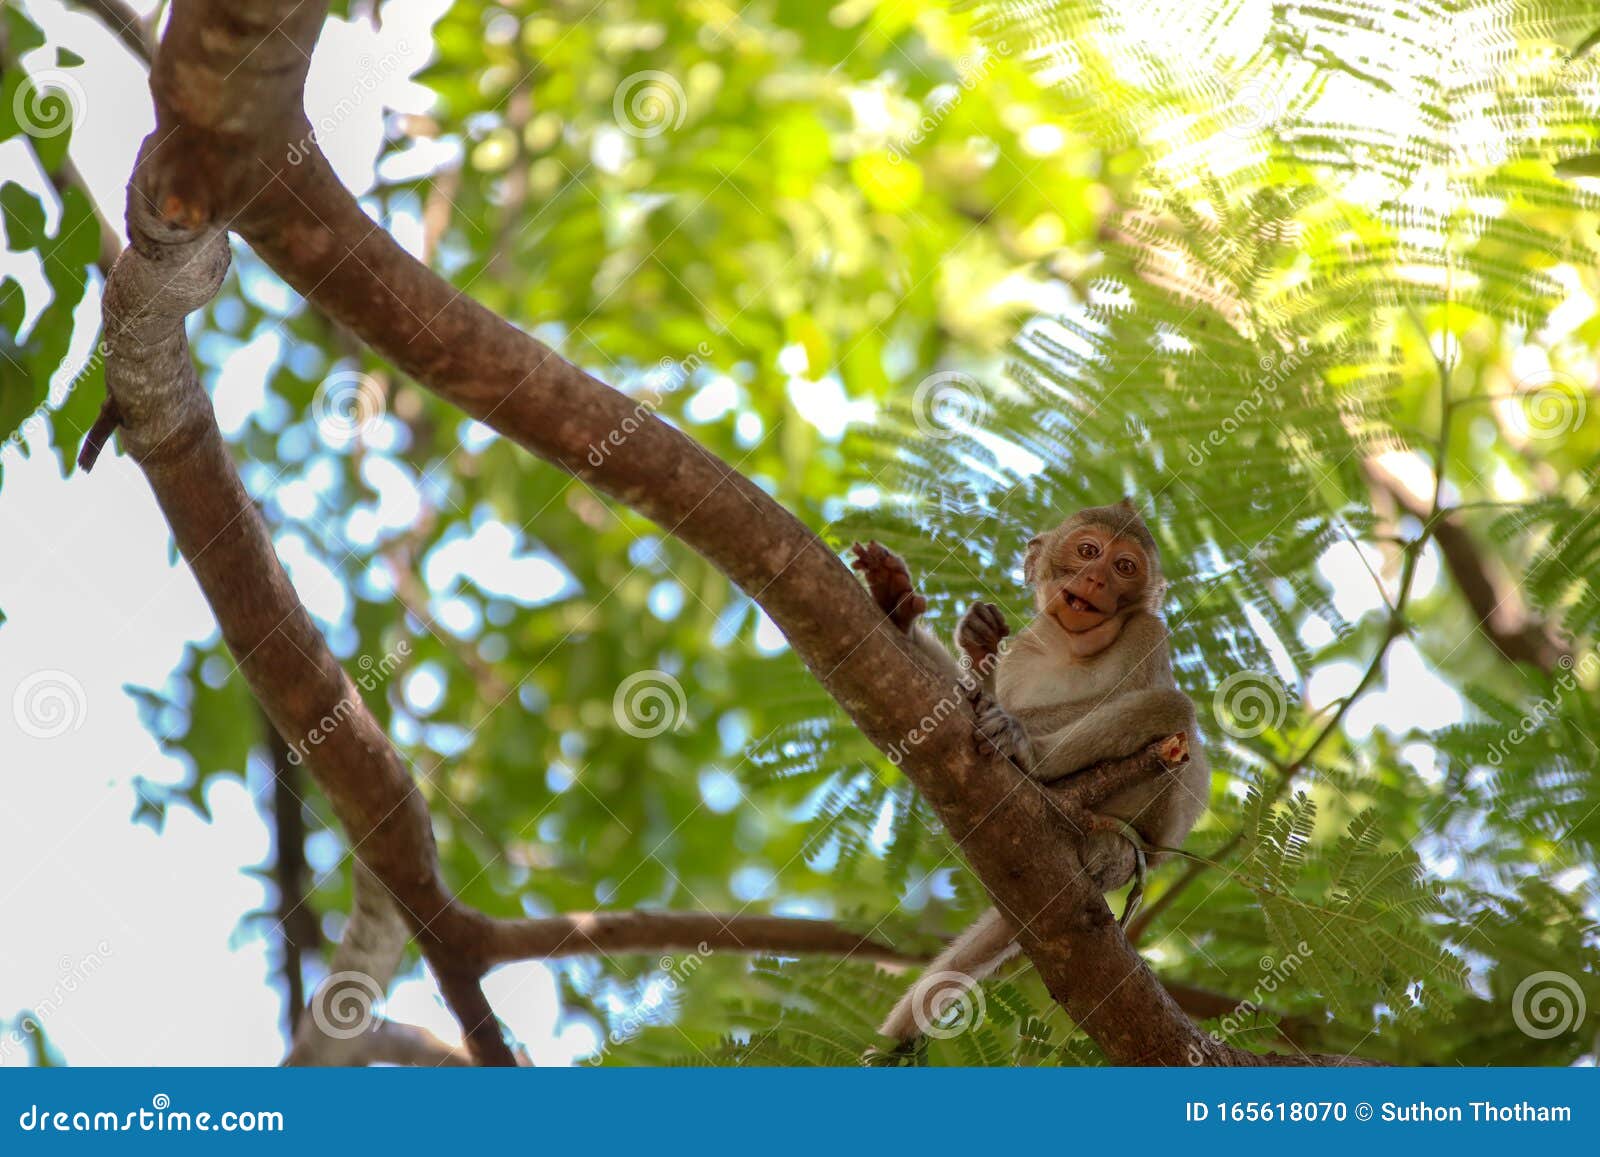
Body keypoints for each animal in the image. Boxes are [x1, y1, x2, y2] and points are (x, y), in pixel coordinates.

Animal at [849, 499, 1207, 1048]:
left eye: (1124, 566)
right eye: (1088, 551)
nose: (1096, 578)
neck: (1069, 644)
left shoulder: (1150, 632)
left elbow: (1133, 692)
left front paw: (992, 694)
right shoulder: (1025, 651)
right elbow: (944, 704)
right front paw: (912, 615)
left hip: (1154, 823)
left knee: (1171, 705)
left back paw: (1031, 757)